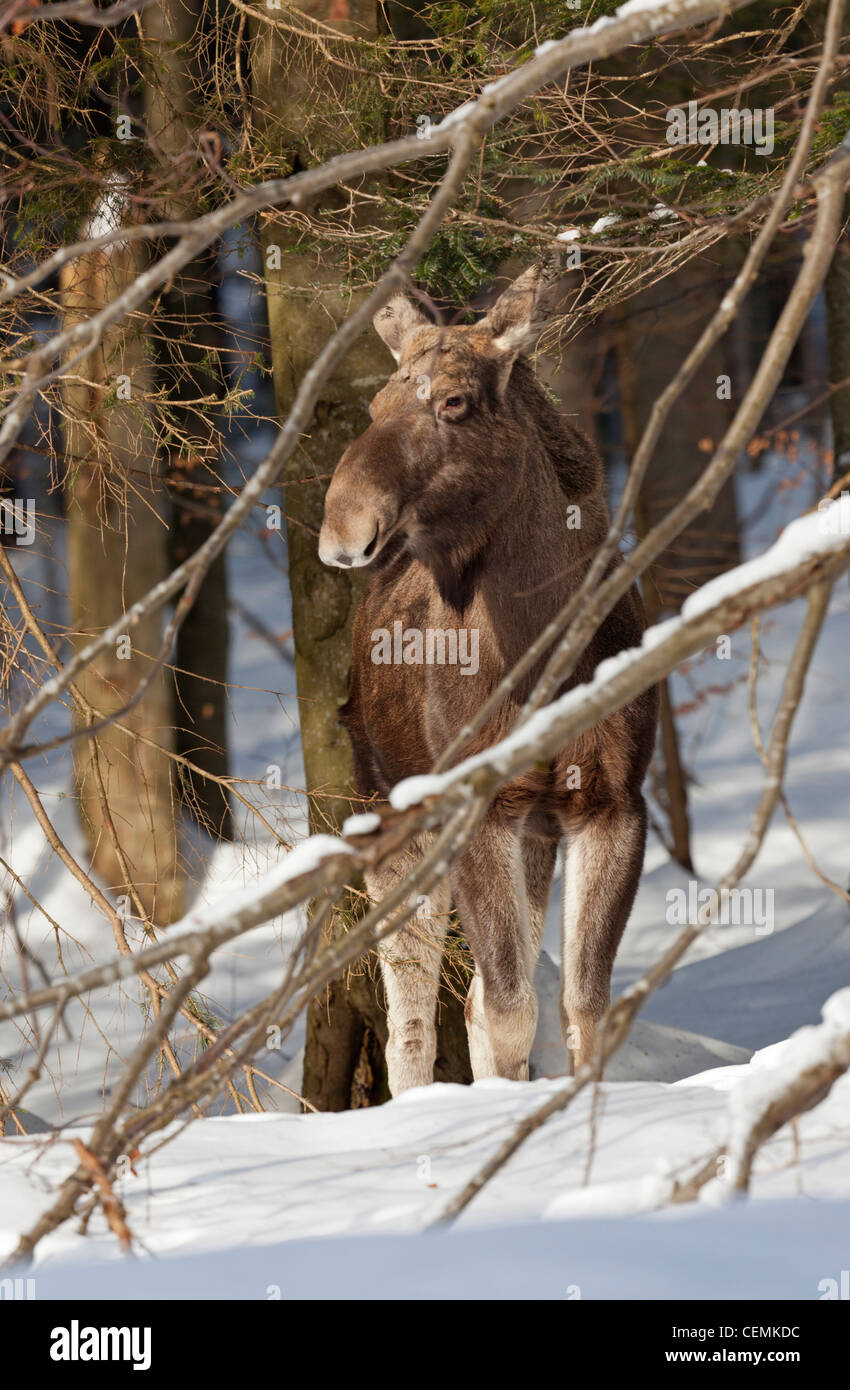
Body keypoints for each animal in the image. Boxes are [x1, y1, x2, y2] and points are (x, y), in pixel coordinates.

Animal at [318, 264, 659, 1096]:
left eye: (454, 400)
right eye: (372, 407)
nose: (344, 528)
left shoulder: (613, 801)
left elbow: (581, 1004)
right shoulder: (477, 805)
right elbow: (510, 1009)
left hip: (533, 825)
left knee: (465, 1000)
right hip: (394, 807)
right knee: (408, 1021)